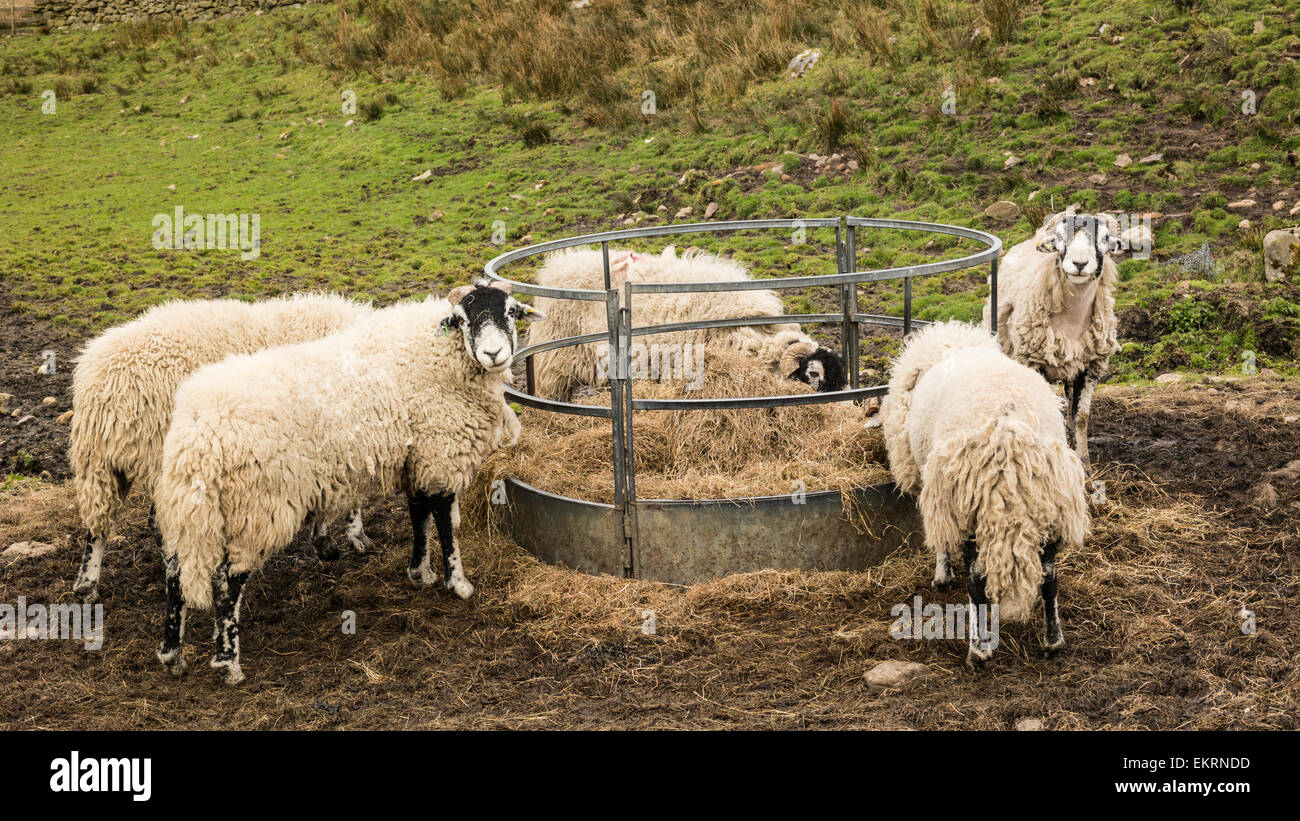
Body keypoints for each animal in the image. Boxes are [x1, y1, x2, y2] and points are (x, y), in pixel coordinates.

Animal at [69, 293, 377, 603]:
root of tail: (100, 389)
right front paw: (350, 538)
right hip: (160, 458)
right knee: (156, 525)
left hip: (101, 464)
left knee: (97, 528)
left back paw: (86, 585)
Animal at [154, 280, 543, 684]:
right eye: (463, 319)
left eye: (510, 311)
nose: (494, 353)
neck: (441, 355)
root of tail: (197, 437)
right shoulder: (440, 456)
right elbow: (445, 524)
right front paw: (459, 583)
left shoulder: (416, 459)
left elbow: (418, 516)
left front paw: (420, 573)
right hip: (256, 510)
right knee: (226, 583)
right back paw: (229, 663)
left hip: (191, 514)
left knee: (175, 574)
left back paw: (172, 655)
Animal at [880, 321, 1089, 668]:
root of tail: (1006, 432)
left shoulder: (939, 490)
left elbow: (942, 540)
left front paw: (942, 576)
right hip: (1046, 501)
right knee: (1049, 574)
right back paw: (1052, 640)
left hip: (968, 503)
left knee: (976, 579)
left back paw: (978, 650)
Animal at [982, 211, 1121, 465]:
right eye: (1059, 238)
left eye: (1105, 238)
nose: (1079, 264)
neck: (1073, 320)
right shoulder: (1034, 364)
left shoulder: (1090, 366)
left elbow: (1081, 417)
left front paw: (1084, 461)